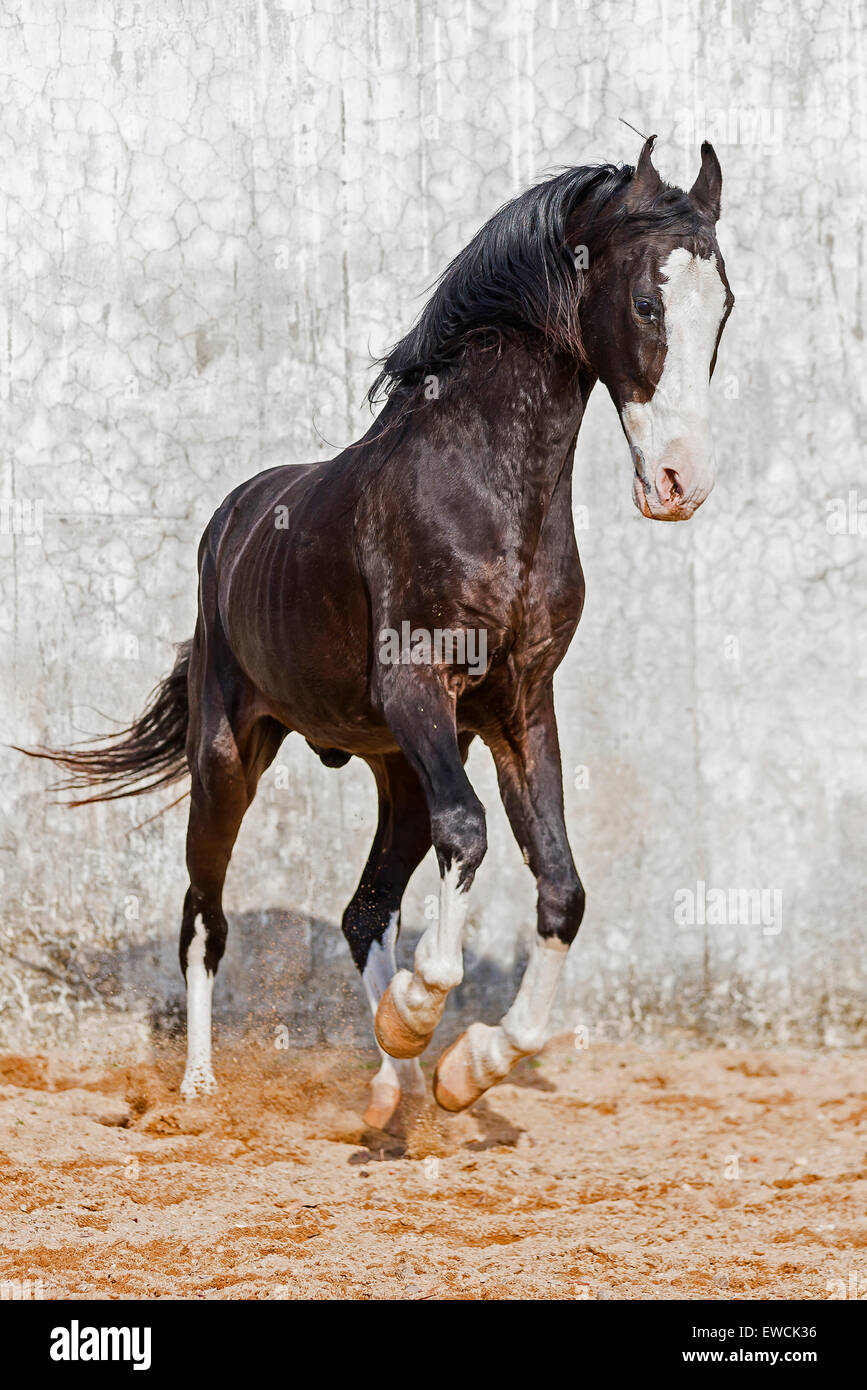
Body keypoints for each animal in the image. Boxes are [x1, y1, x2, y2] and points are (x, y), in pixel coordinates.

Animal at [25, 137, 734, 1130]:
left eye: (725, 305)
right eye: (645, 301)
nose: (680, 483)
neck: (485, 494)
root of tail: (230, 524)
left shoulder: (519, 708)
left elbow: (560, 886)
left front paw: (468, 1065)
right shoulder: (416, 688)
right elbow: (469, 835)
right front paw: (423, 1011)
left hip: (395, 766)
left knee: (363, 909)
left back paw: (390, 1092)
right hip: (231, 756)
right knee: (205, 916)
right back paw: (203, 1088)